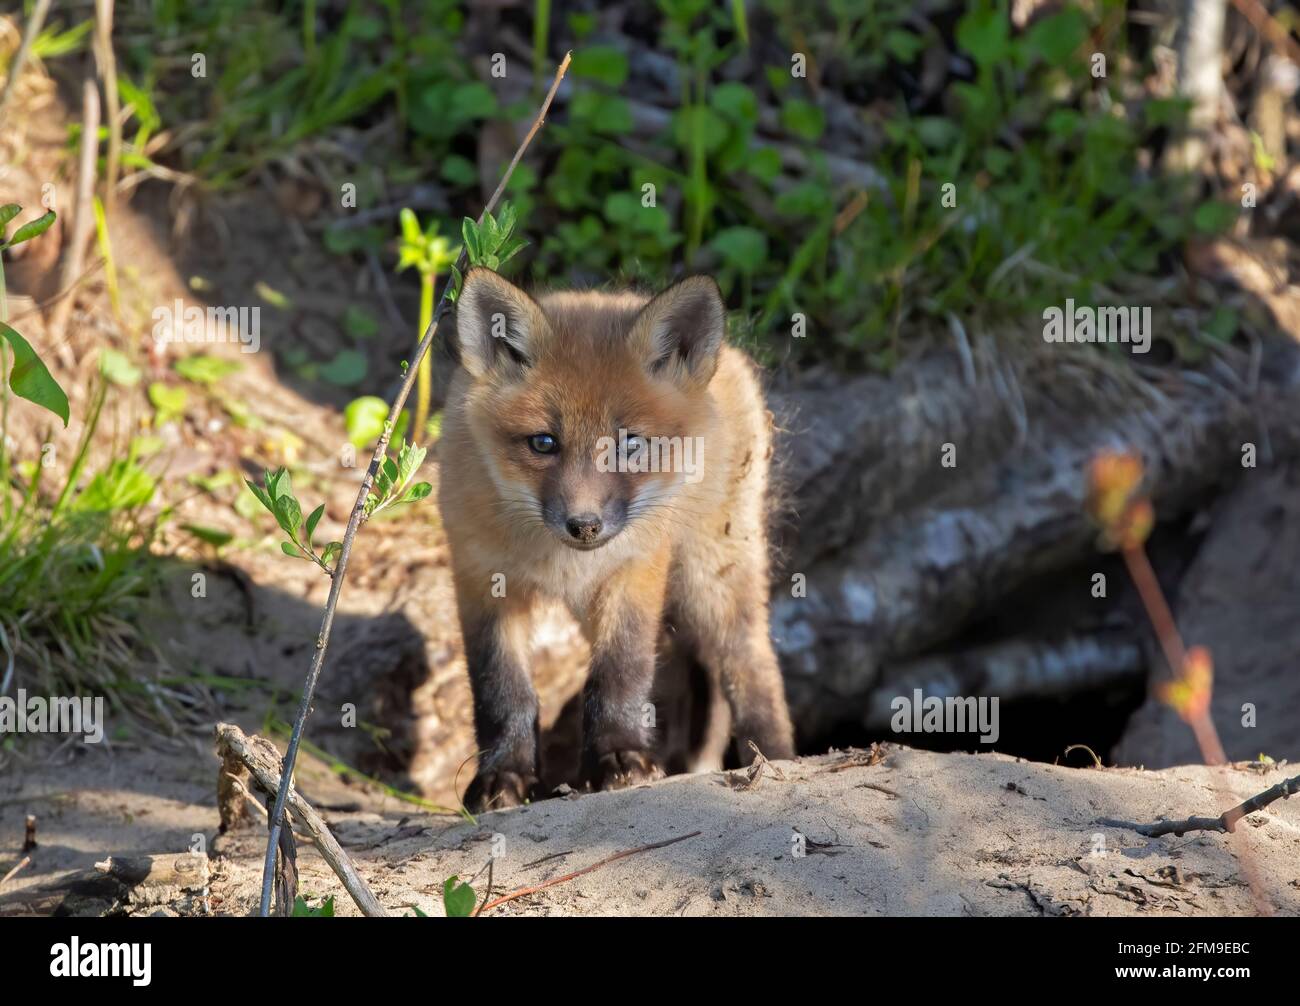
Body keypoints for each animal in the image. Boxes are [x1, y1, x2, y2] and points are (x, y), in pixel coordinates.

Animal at [438, 267, 796, 811]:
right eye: (544, 442)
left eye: (630, 444)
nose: (584, 525)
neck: (561, 561)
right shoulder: (481, 576)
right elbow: (501, 688)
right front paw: (504, 777)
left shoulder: (636, 567)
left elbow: (620, 672)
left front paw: (618, 758)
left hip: (713, 576)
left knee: (749, 665)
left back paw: (777, 758)